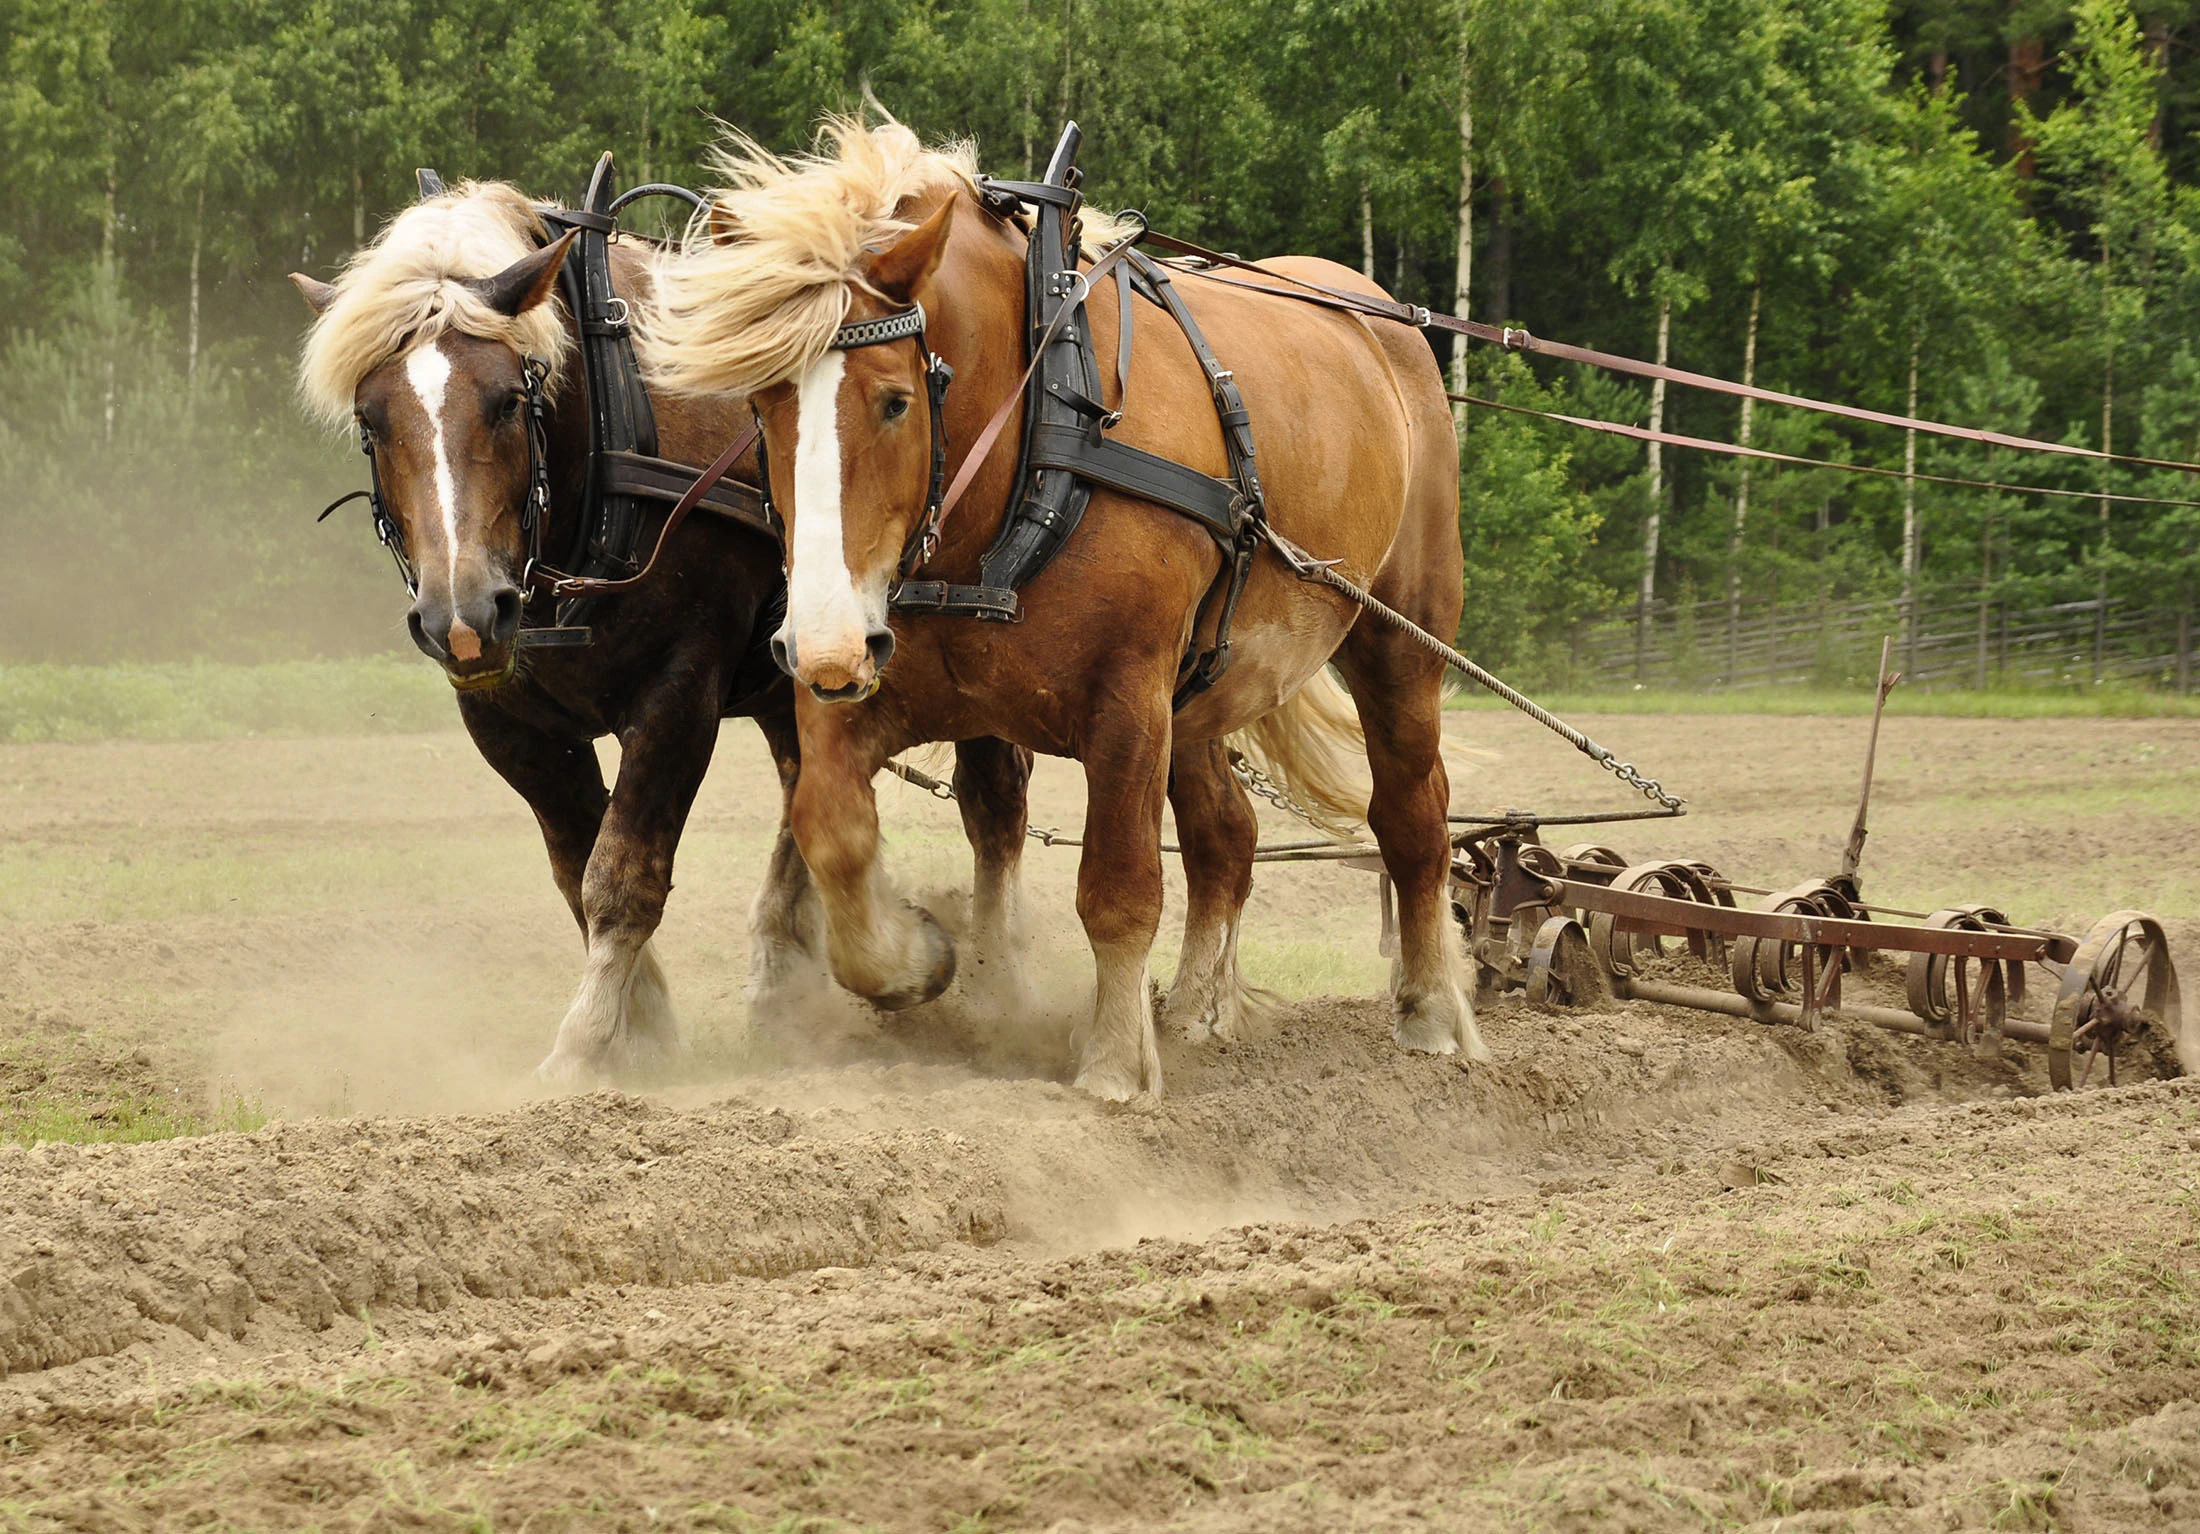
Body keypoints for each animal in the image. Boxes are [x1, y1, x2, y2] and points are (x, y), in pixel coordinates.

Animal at [289, 176, 1044, 1081]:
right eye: (372, 423)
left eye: (509, 400)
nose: (464, 619)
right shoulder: (508, 722)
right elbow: (576, 871)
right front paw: (647, 1030)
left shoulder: (679, 694)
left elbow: (624, 875)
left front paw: (581, 1054)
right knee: (808, 787)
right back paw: (783, 983)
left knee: (993, 803)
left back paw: (994, 982)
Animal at [638, 121, 1489, 1099]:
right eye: (763, 403)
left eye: (894, 400)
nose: (819, 645)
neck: (1034, 445)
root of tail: (1380, 314)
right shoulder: (872, 682)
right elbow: (831, 831)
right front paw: (918, 960)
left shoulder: (1126, 702)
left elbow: (1117, 889)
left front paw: (1114, 1065)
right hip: (1199, 693)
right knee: (1227, 837)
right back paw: (1193, 1013)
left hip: (1397, 638)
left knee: (1413, 817)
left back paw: (1432, 1016)